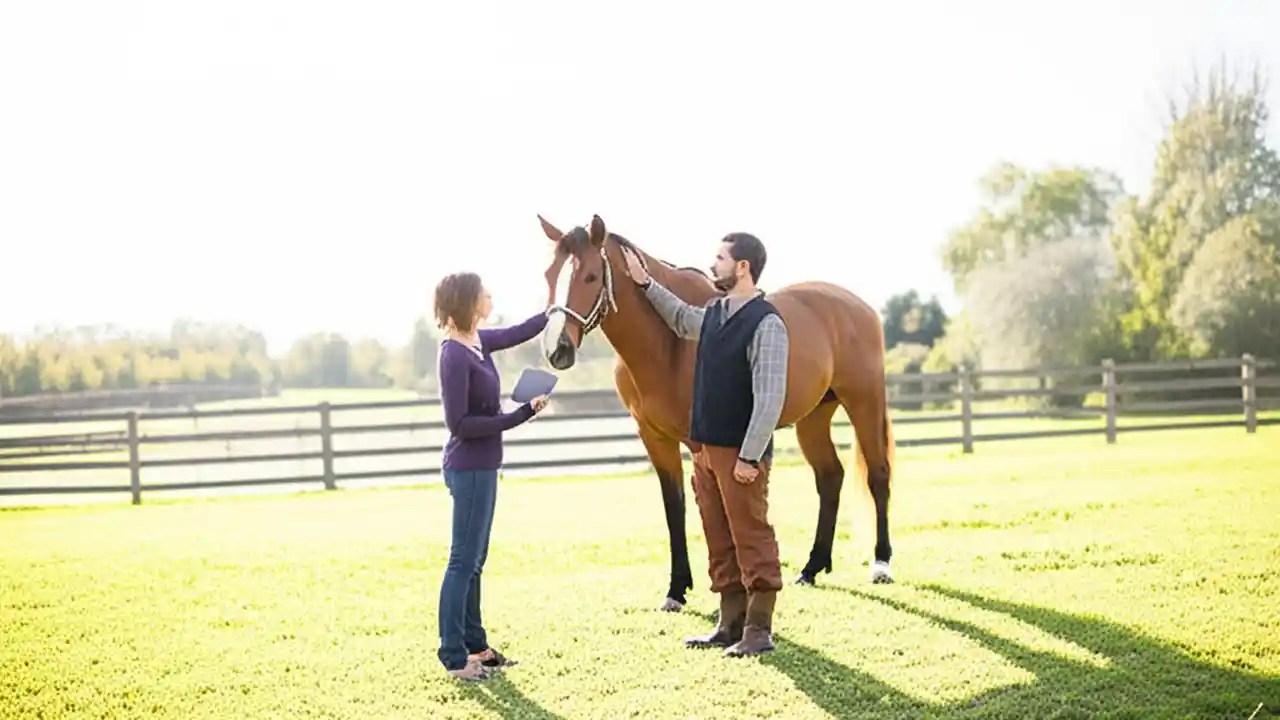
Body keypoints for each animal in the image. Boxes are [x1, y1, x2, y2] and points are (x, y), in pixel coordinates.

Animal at [536, 213, 895, 612]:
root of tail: (858, 306)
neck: (668, 343)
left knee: (878, 475)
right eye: (549, 275)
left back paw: (881, 564)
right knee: (830, 477)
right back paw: (812, 567)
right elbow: (675, 506)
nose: (556, 350)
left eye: (590, 276)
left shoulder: (699, 443)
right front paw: (676, 589)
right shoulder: (654, 437)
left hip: (864, 402)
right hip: (813, 418)